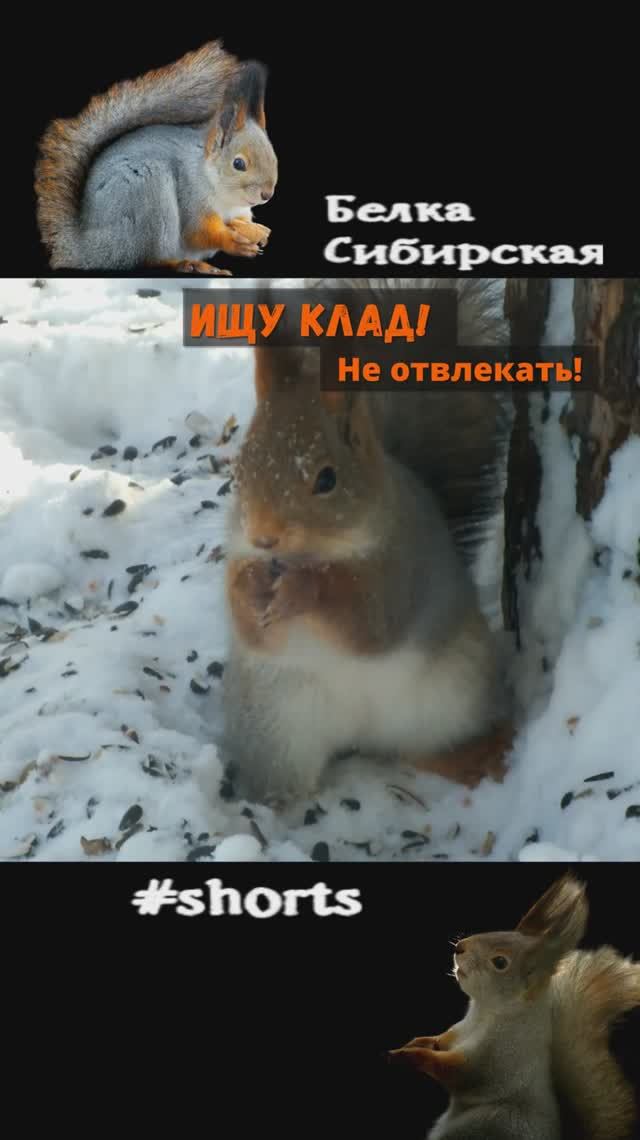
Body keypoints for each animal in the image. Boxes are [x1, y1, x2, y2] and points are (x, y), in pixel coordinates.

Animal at [34, 41, 277, 273]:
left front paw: (256, 230)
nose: (266, 195)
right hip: (149, 197)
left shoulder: (238, 211)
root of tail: (88, 248)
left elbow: (239, 221)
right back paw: (189, 265)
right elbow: (198, 232)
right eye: (238, 163)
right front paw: (235, 243)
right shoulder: (192, 196)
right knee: (149, 259)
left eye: (274, 158)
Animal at [221, 279, 513, 807]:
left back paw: (474, 757)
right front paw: (252, 588)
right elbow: (253, 631)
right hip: (275, 728)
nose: (264, 535)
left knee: (428, 749)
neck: (313, 553)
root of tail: (359, 734)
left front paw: (303, 590)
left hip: (452, 697)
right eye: (242, 464)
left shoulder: (399, 567)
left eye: (327, 479)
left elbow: (366, 621)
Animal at [389, 874, 640, 1140]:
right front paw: (417, 1042)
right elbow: (441, 1041)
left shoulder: (498, 1057)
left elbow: (458, 1072)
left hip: (489, 1123)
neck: (486, 1012)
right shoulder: (459, 1031)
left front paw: (409, 1055)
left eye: (500, 962)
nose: (460, 947)